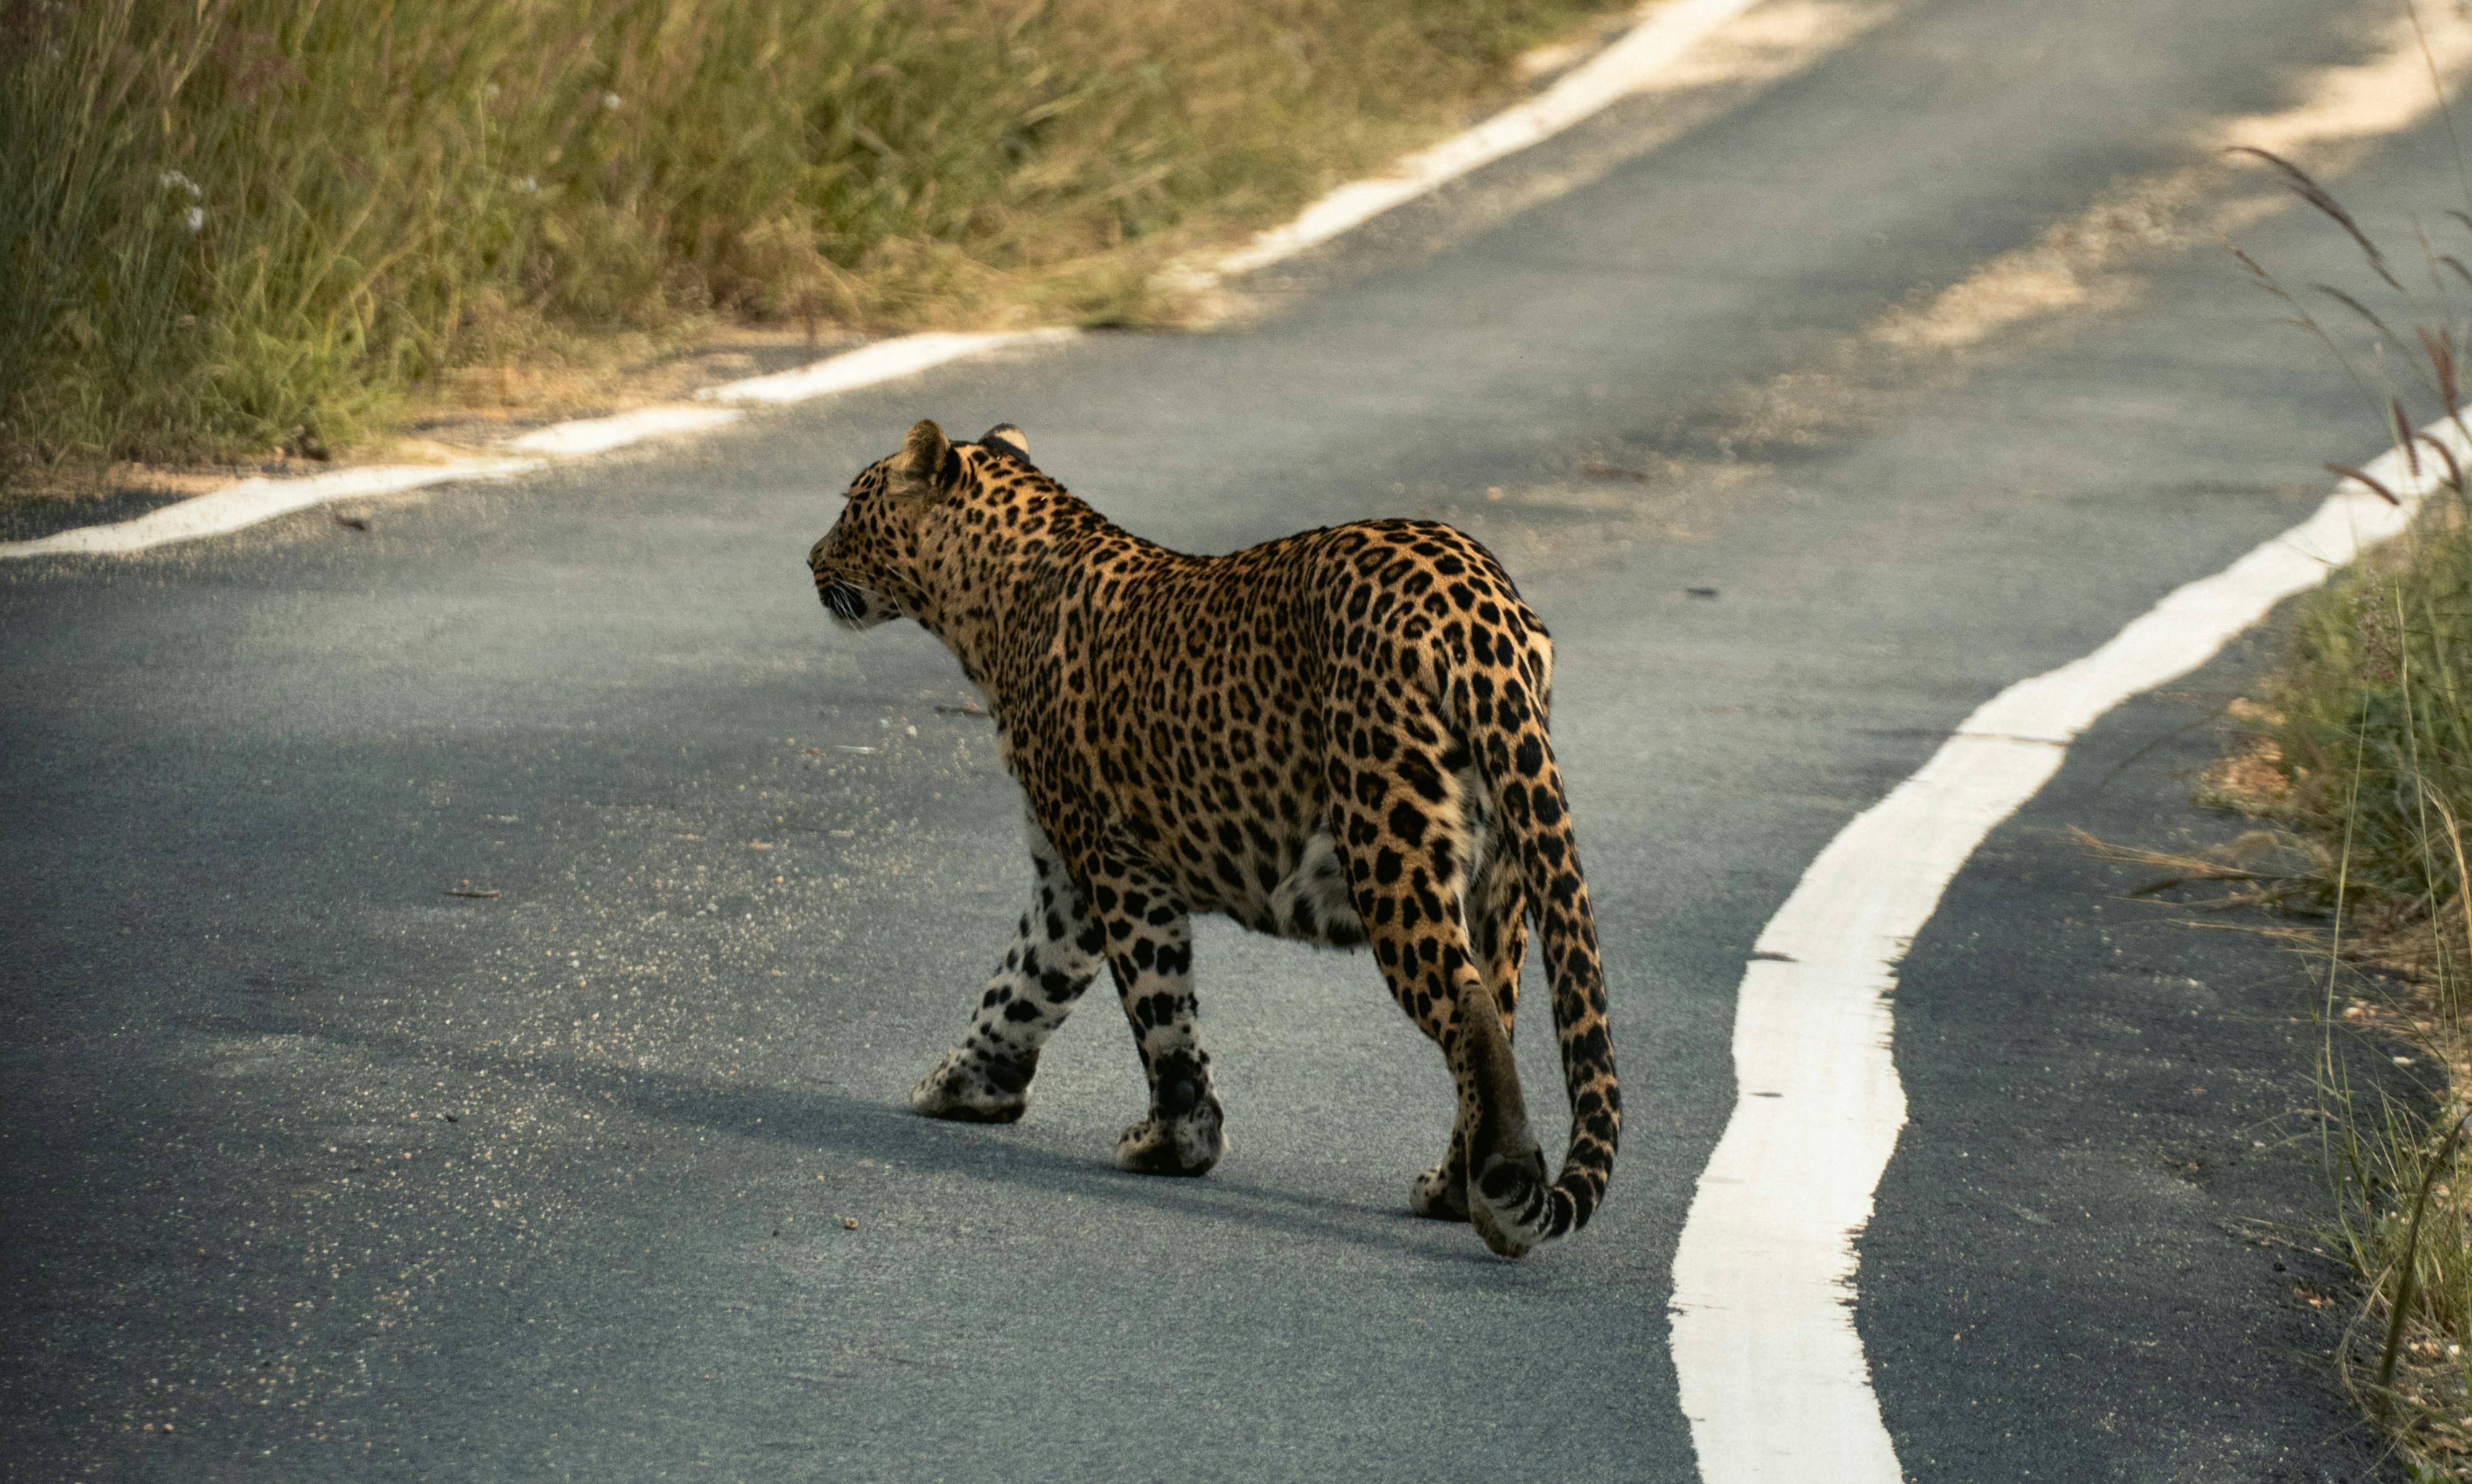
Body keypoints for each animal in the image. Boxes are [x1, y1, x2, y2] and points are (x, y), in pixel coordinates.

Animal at [806, 419, 1619, 1257]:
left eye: (852, 504)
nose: (810, 559)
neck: (989, 609)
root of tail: (1480, 607)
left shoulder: (1113, 861)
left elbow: (1157, 1008)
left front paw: (1175, 1141)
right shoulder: (1068, 879)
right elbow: (1022, 983)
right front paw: (965, 1084)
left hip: (1387, 841)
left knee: (1468, 1007)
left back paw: (1489, 1189)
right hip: (1501, 863)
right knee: (1499, 1009)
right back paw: (1460, 1185)